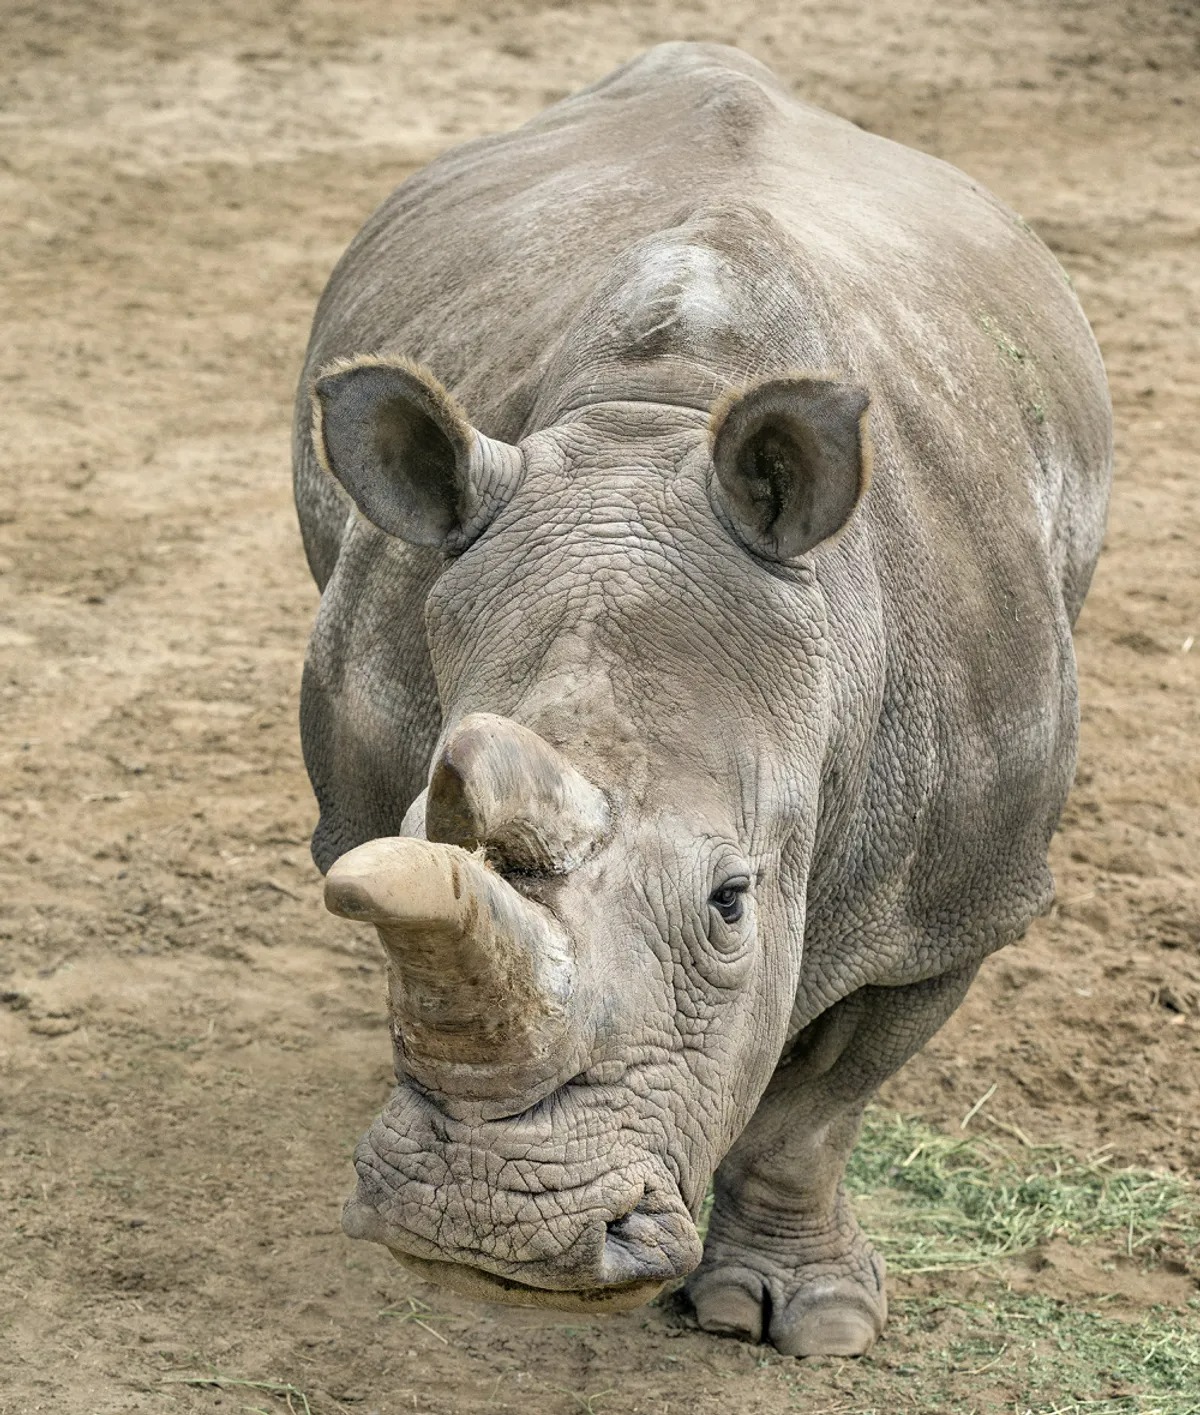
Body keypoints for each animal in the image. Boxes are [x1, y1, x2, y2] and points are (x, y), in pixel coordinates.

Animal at [292, 42, 1111, 1356]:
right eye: (417, 825)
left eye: (733, 901)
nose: (489, 1234)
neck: (651, 427)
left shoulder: (962, 901)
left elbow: (815, 1112)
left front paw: (799, 1319)